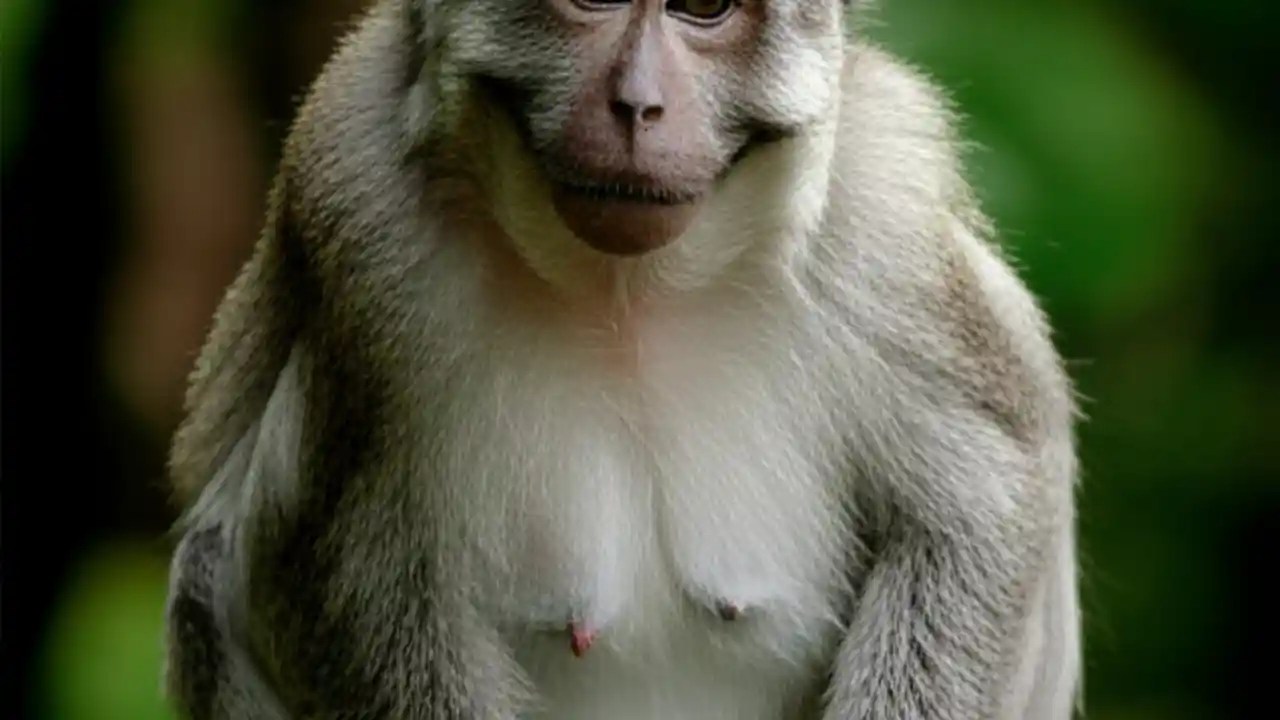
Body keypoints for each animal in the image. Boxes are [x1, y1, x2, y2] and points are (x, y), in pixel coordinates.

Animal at [164, 1, 1081, 718]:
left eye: (704, 6)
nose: (638, 105)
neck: (627, 289)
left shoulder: (885, 214)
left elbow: (979, 511)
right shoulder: (359, 211)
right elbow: (325, 573)